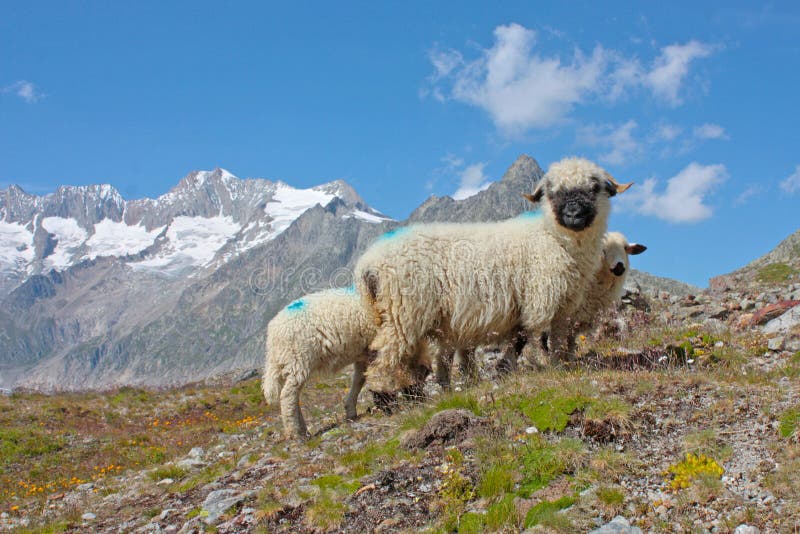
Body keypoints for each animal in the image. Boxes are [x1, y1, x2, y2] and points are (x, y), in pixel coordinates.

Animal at [262, 288, 376, 439]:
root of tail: (273, 332)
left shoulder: (364, 353)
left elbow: (359, 379)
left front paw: (350, 410)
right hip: (298, 359)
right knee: (287, 395)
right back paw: (295, 433)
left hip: (291, 362)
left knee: (293, 396)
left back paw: (303, 430)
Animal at [356, 157, 632, 392]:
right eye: (552, 192)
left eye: (594, 188)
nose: (573, 215)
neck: (552, 238)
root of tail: (367, 263)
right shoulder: (536, 300)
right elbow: (524, 339)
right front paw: (507, 368)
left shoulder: (562, 306)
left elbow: (557, 340)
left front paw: (561, 366)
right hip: (404, 312)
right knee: (381, 354)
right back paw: (386, 395)